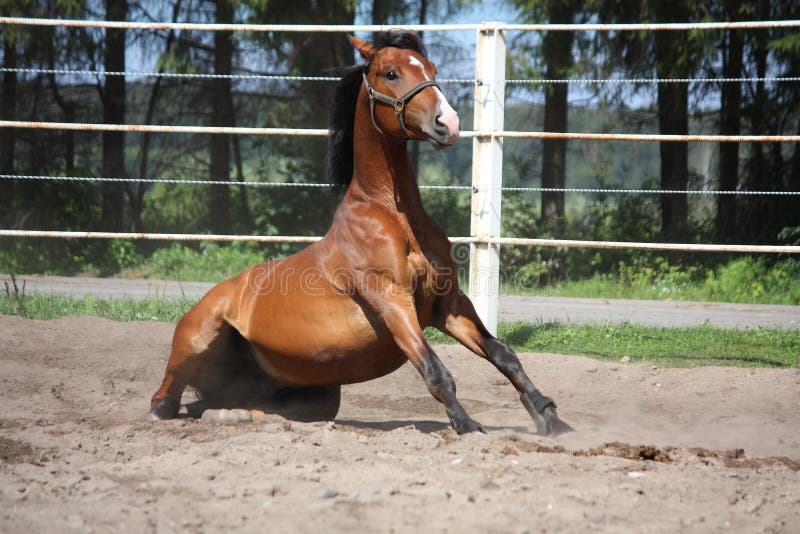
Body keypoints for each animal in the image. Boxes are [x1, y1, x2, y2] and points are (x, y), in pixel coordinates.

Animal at [149, 30, 569, 435]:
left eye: (432, 69)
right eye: (391, 73)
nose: (447, 123)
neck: (394, 216)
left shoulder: (447, 304)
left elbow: (504, 355)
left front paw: (550, 419)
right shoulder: (392, 301)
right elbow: (436, 372)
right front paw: (467, 425)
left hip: (315, 392)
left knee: (240, 406)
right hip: (197, 342)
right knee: (165, 404)